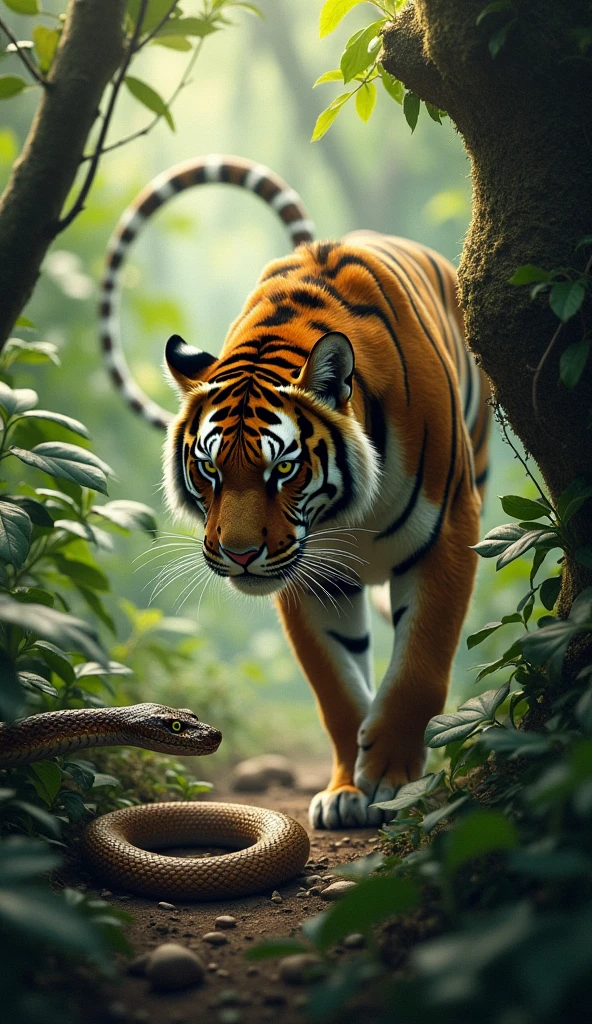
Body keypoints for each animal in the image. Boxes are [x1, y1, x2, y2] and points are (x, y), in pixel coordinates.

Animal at [99, 156, 491, 829]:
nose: (238, 556)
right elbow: (336, 689)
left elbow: (419, 666)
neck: (346, 512)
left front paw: (390, 778)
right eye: (209, 470)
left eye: (281, 469)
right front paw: (348, 789)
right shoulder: (309, 576)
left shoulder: (447, 533)